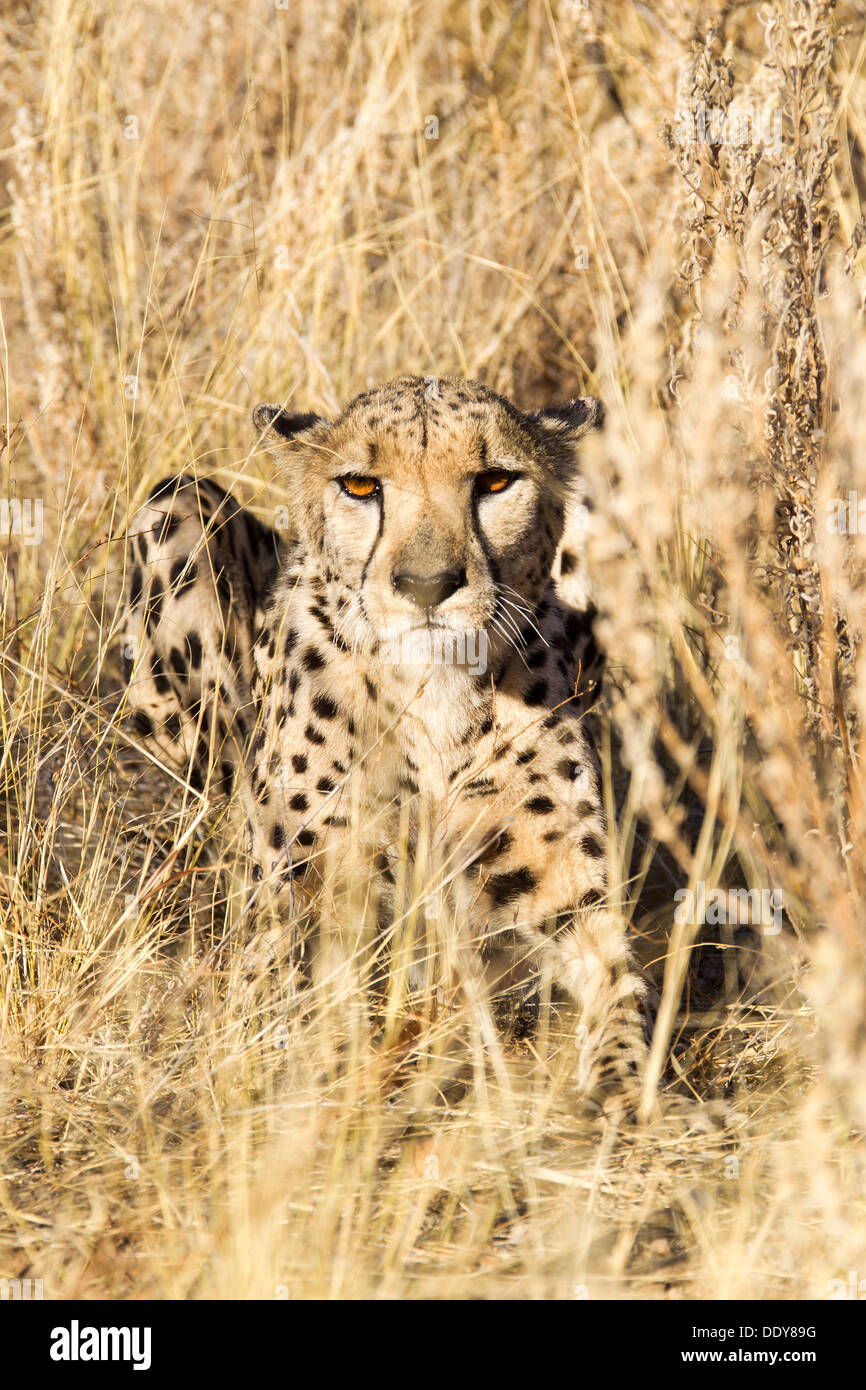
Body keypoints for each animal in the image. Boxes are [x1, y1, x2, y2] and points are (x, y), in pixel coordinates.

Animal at [119, 375, 646, 1102]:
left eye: (496, 481)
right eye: (362, 486)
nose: (427, 585)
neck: (435, 697)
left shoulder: (574, 906)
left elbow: (624, 1003)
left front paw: (619, 1097)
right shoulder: (297, 912)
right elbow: (302, 1016)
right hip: (175, 508)